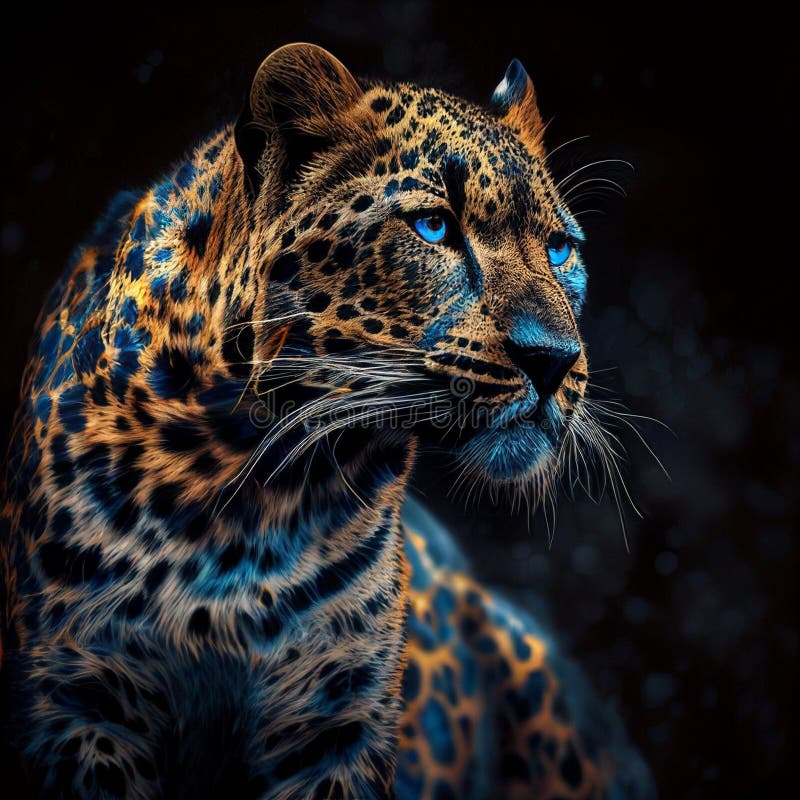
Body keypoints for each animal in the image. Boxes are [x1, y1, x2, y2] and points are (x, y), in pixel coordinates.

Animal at [0, 43, 655, 799]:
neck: (242, 492)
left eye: (558, 248)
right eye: (434, 226)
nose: (553, 360)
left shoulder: (334, 720)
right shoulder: (80, 695)